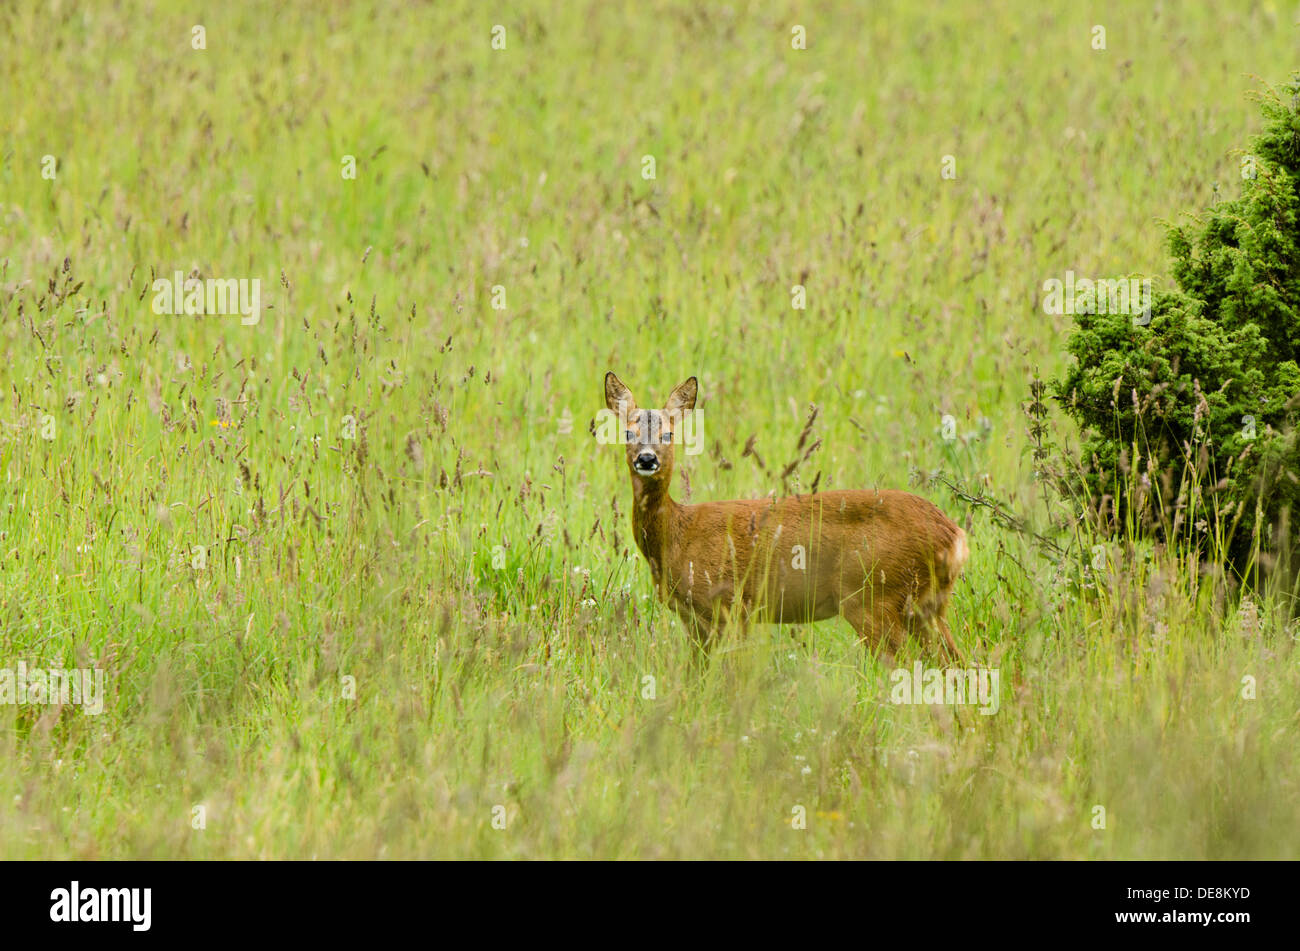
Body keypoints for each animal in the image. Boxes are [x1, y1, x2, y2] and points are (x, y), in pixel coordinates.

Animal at [603, 371, 968, 663]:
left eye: (668, 434)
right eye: (628, 433)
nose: (646, 459)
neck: (677, 535)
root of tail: (955, 537)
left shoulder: (730, 606)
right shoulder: (694, 619)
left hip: (872, 597)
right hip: (925, 605)